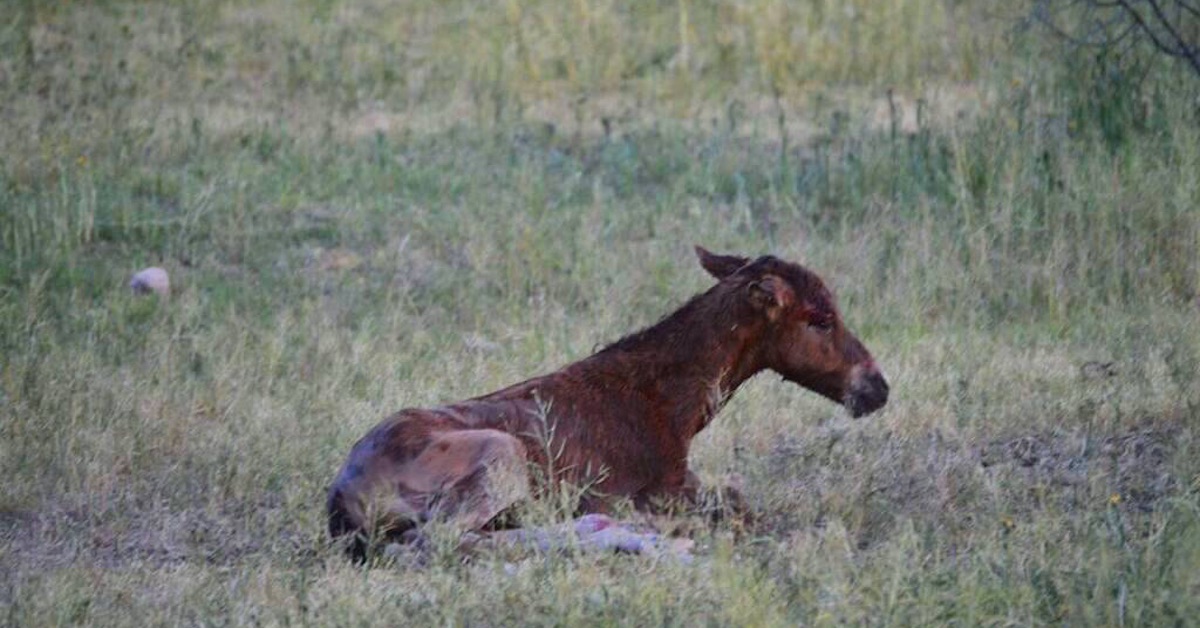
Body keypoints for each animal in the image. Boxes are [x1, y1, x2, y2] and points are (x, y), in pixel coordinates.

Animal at [327, 246, 889, 558]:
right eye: (820, 318)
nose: (877, 386)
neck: (683, 412)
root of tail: (342, 502)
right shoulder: (660, 488)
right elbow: (742, 507)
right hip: (500, 455)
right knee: (431, 543)